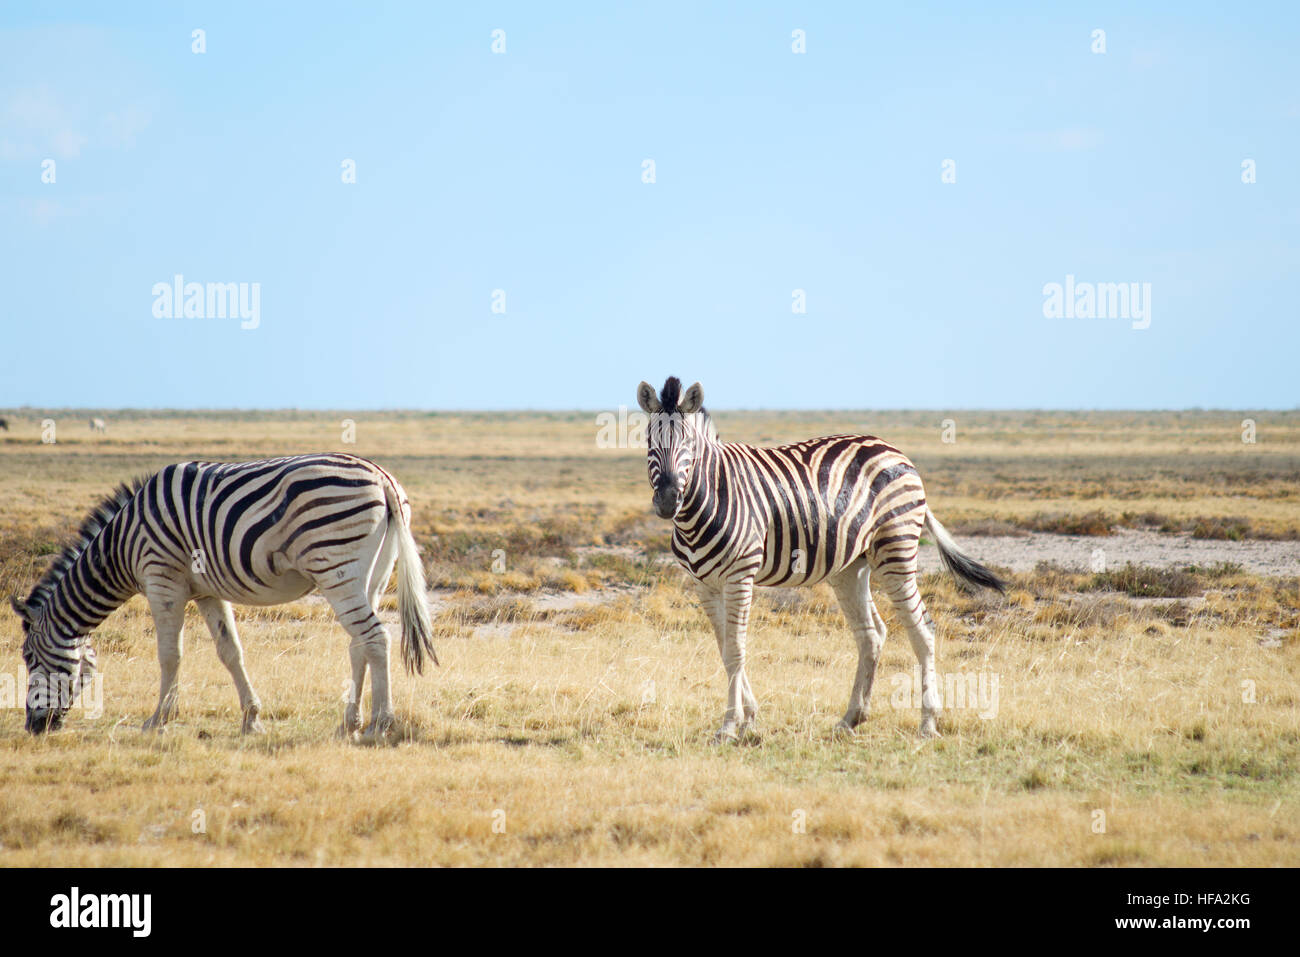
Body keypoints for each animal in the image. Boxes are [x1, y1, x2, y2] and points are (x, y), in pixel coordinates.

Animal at [8, 452, 436, 737]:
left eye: (28, 657)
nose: (34, 728)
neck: (121, 547)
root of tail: (381, 476)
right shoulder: (207, 592)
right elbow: (230, 651)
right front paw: (251, 718)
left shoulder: (163, 579)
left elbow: (170, 654)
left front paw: (158, 720)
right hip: (372, 575)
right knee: (359, 642)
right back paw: (349, 722)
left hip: (336, 566)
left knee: (375, 637)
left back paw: (380, 723)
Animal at [636, 377, 1005, 741]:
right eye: (649, 441)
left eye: (688, 444)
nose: (667, 501)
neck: (708, 500)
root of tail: (894, 450)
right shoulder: (703, 584)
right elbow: (725, 649)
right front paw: (748, 717)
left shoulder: (740, 576)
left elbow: (736, 649)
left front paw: (730, 725)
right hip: (851, 567)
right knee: (870, 634)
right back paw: (852, 718)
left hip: (895, 550)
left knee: (922, 630)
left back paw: (928, 724)